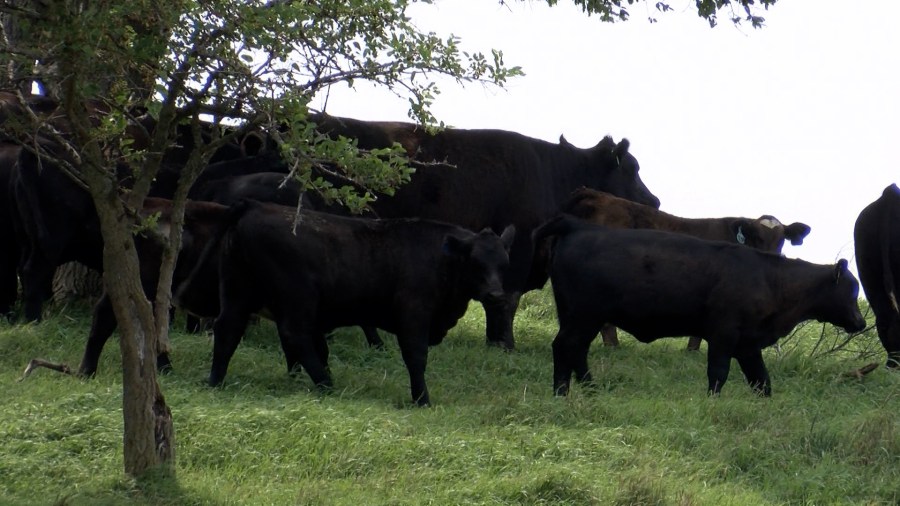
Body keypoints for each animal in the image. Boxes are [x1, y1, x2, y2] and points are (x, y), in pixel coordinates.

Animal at [175, 200, 516, 406]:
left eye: (504, 263)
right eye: (475, 263)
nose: (496, 295)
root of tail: (254, 205)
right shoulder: (414, 314)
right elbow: (416, 357)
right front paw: (422, 400)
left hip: (238, 290)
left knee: (228, 329)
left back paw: (216, 380)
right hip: (297, 296)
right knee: (294, 336)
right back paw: (326, 383)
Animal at [312, 113, 660, 350]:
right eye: (632, 168)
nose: (655, 201)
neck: (554, 174)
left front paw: (495, 341)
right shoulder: (520, 247)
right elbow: (507, 298)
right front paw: (504, 344)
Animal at [532, 215, 866, 397]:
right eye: (851, 290)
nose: (861, 323)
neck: (771, 279)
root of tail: (578, 226)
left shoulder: (748, 345)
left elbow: (762, 382)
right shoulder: (723, 336)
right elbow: (717, 375)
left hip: (581, 318)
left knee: (577, 352)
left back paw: (589, 390)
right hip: (582, 316)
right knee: (564, 348)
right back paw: (561, 394)